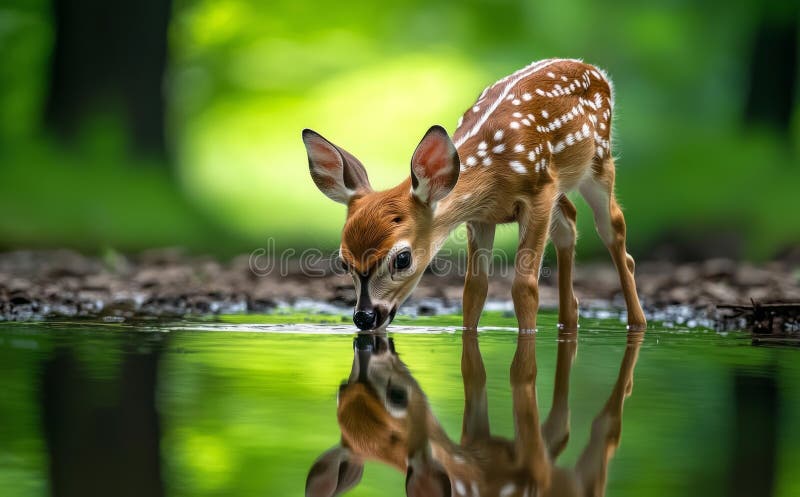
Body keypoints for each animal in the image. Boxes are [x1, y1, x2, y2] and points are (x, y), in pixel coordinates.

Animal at [302, 58, 647, 333]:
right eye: (343, 262)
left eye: (402, 258)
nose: (363, 318)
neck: (492, 175)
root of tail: (595, 70)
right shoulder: (481, 217)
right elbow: (474, 289)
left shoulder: (538, 194)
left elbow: (524, 287)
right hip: (561, 182)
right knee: (569, 224)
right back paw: (569, 320)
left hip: (598, 163)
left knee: (614, 229)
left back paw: (638, 322)